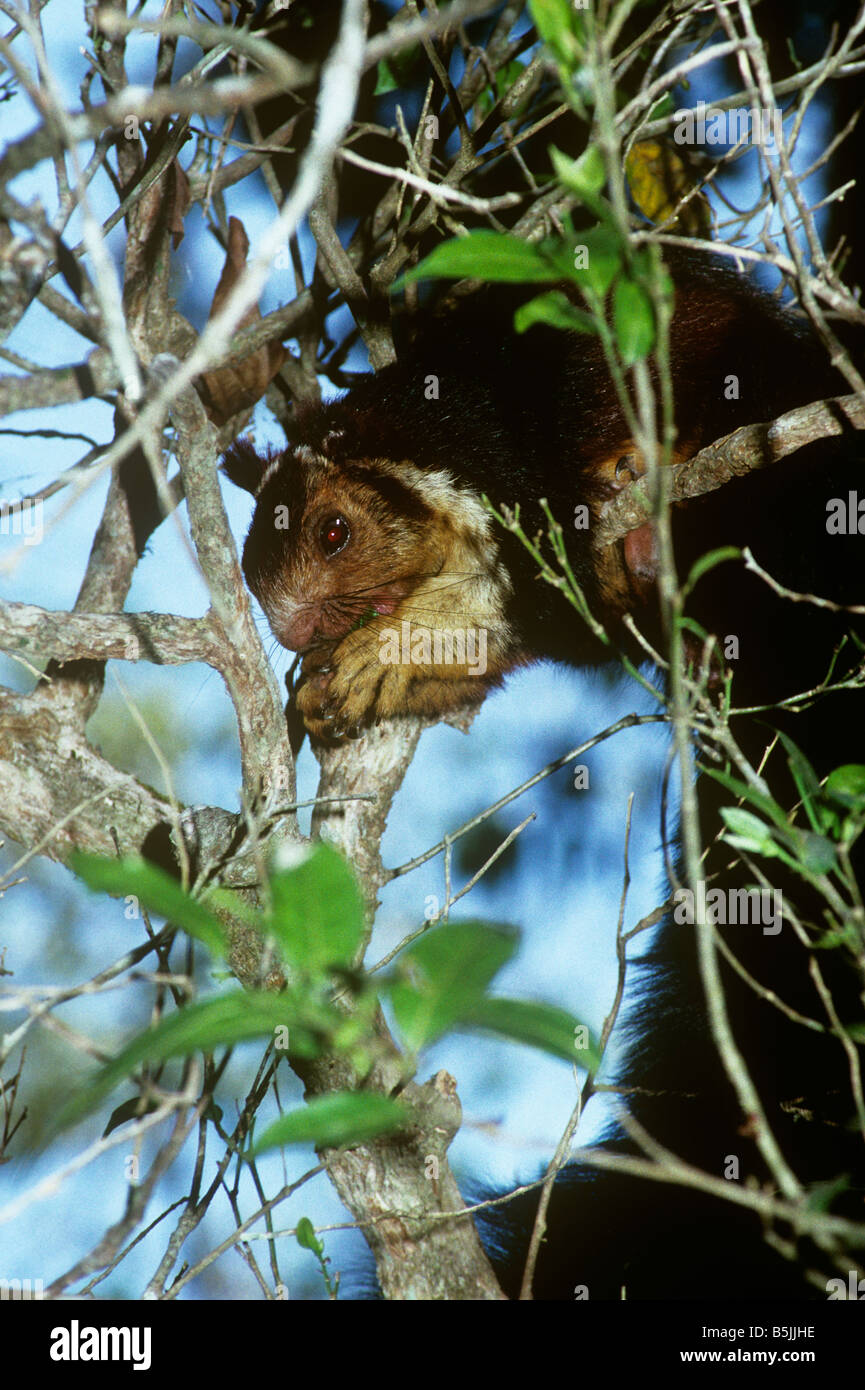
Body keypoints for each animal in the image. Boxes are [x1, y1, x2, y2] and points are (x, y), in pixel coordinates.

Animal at [223, 248, 865, 1298]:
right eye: (249, 570)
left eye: (333, 532)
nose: (298, 628)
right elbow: (551, 628)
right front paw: (367, 677)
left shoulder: (524, 420)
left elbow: (535, 563)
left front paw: (387, 650)